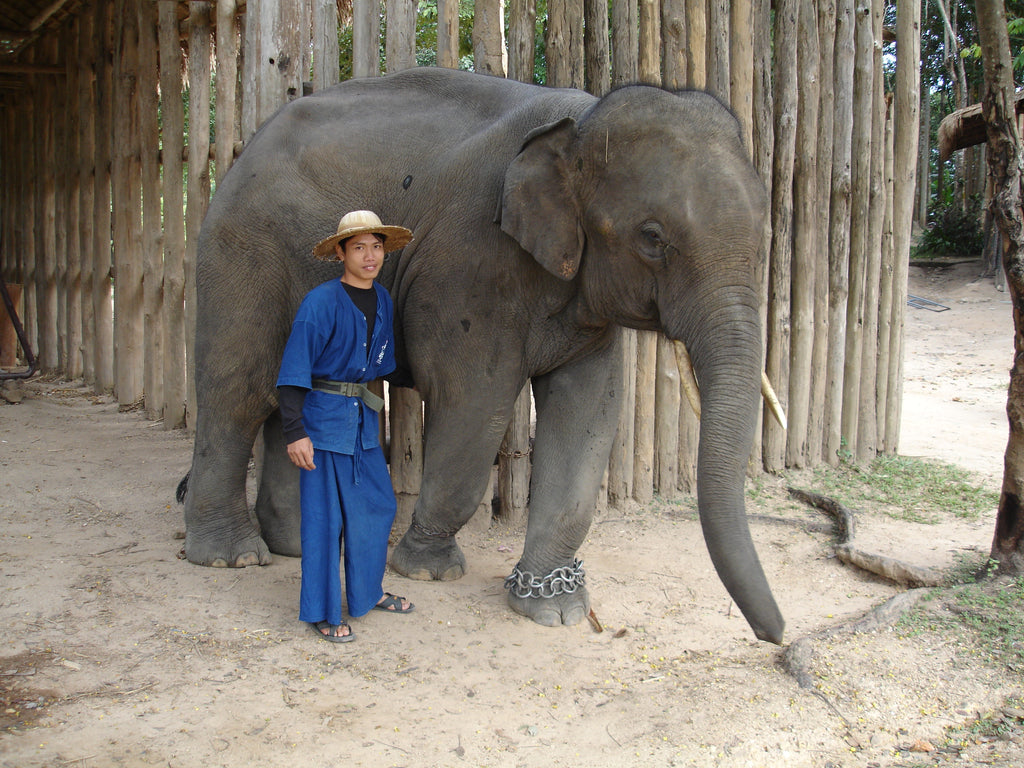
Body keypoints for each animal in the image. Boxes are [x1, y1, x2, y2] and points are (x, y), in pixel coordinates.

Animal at [178, 66, 785, 645]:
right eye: (653, 238)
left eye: (765, 234)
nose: (774, 635)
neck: (583, 120)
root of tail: (243, 149)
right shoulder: (470, 264)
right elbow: (475, 401)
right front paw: (427, 571)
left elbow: (589, 411)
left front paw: (553, 609)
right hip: (243, 250)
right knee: (238, 390)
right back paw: (231, 556)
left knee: (289, 396)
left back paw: (294, 548)